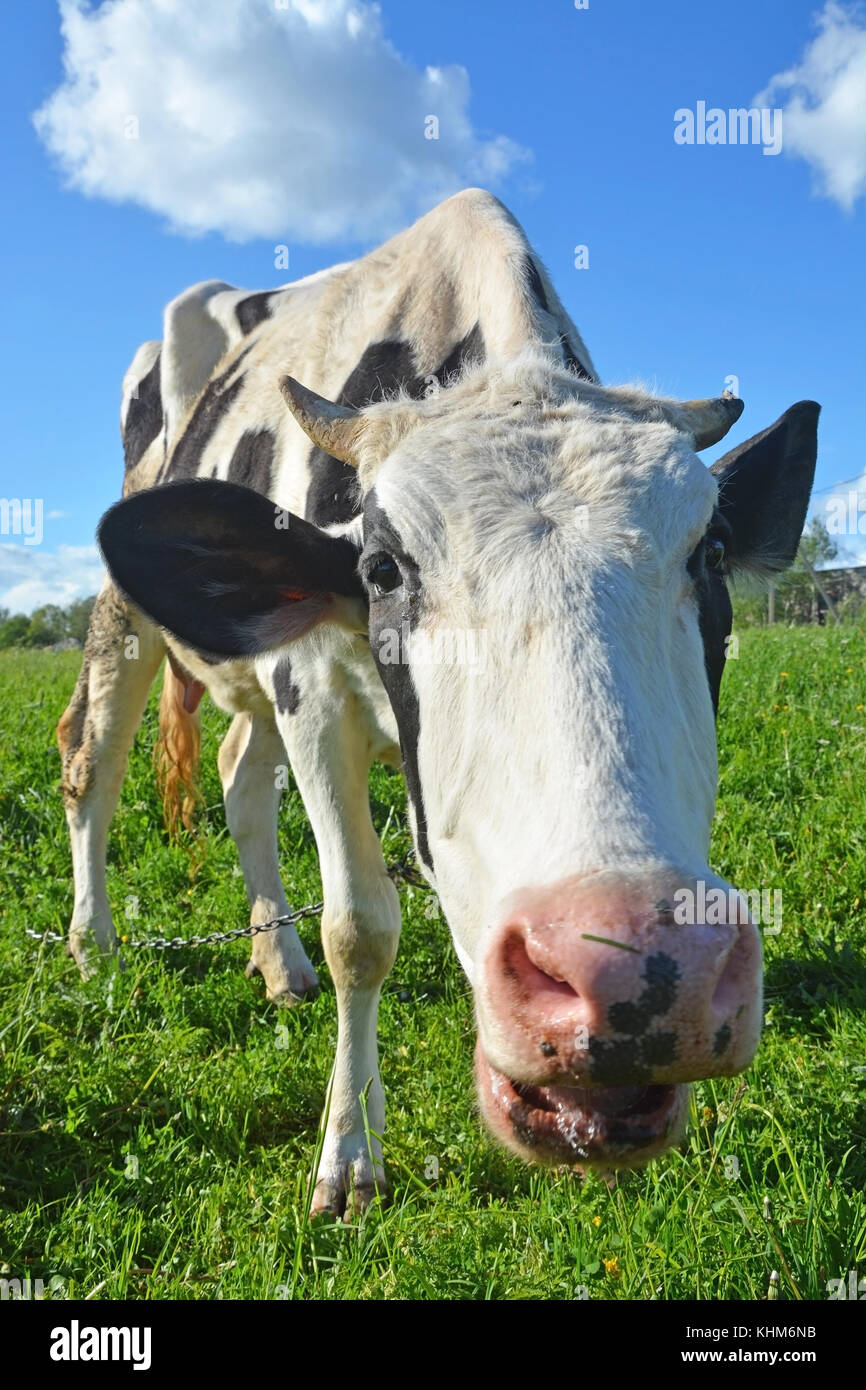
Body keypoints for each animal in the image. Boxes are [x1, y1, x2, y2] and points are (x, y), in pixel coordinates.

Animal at [58, 188, 818, 1217]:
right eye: (383, 568)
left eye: (711, 552)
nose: (636, 974)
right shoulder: (312, 688)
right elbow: (359, 928)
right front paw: (348, 1155)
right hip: (127, 614)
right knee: (93, 765)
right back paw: (95, 947)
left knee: (237, 776)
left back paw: (277, 963)